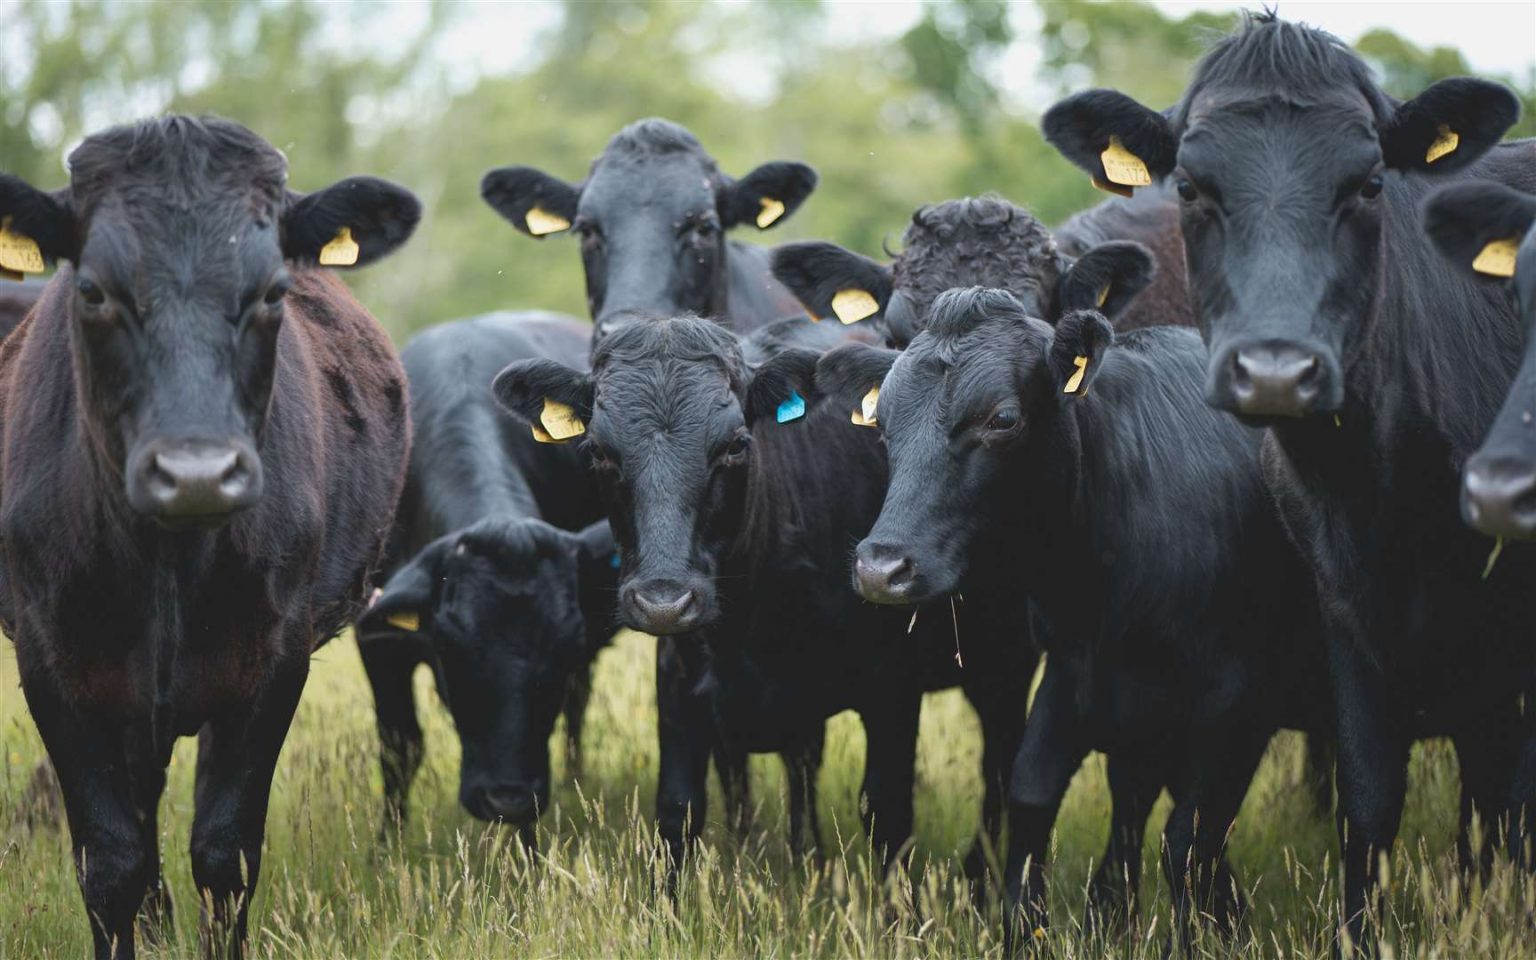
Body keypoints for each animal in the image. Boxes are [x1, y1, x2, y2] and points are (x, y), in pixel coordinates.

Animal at [0, 116, 419, 959]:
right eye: (92, 290)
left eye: (273, 291)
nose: (196, 474)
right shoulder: (52, 662)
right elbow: (110, 860)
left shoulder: (272, 661)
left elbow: (226, 854)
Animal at [351, 311, 626, 848]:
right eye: (455, 652)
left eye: (557, 659)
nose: (506, 798)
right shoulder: (378, 644)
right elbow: (400, 747)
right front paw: (386, 848)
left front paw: (528, 853)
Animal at [489, 313, 1036, 892]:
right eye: (597, 450)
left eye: (734, 444)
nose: (663, 601)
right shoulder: (680, 684)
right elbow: (678, 811)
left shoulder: (892, 689)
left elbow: (887, 816)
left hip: (1005, 662)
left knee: (999, 766)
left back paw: (978, 875)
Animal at [812, 285, 1327, 946]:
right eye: (882, 424)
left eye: (1003, 420)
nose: (881, 567)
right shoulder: (1073, 674)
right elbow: (1031, 798)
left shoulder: (1238, 701)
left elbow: (1187, 842)